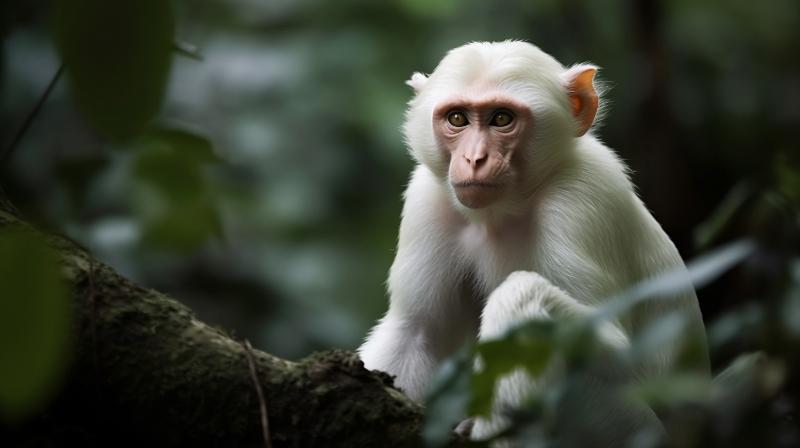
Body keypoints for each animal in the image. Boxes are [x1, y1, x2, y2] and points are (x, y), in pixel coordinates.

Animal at [358, 40, 709, 445]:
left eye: (501, 119)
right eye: (458, 119)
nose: (473, 159)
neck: (505, 212)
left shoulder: (582, 197)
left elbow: (624, 354)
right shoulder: (427, 201)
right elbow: (417, 332)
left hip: (628, 427)